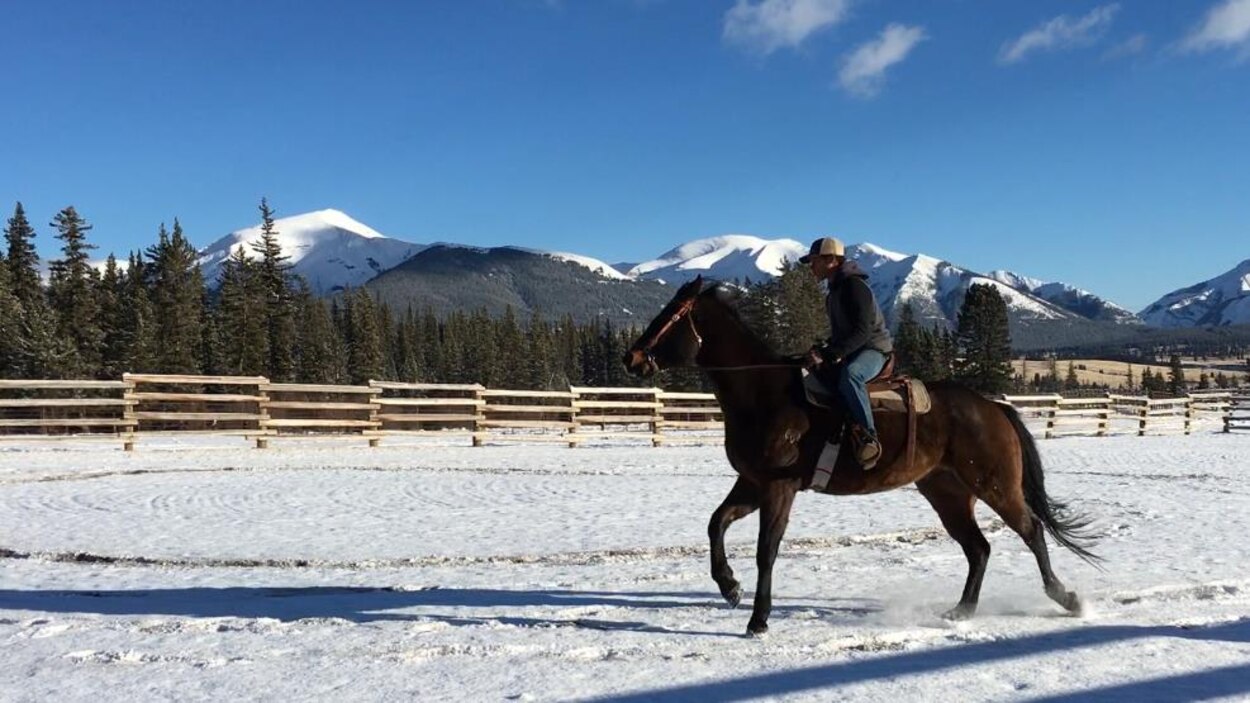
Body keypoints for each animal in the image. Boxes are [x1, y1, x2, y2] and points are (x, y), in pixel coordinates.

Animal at [622, 276, 1100, 636]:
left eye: (671, 315)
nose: (632, 357)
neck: (764, 395)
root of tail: (994, 407)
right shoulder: (753, 483)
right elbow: (715, 523)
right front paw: (729, 587)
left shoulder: (779, 487)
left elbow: (766, 550)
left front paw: (758, 619)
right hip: (946, 492)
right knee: (979, 548)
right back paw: (961, 611)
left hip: (995, 485)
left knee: (1031, 531)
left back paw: (1067, 599)